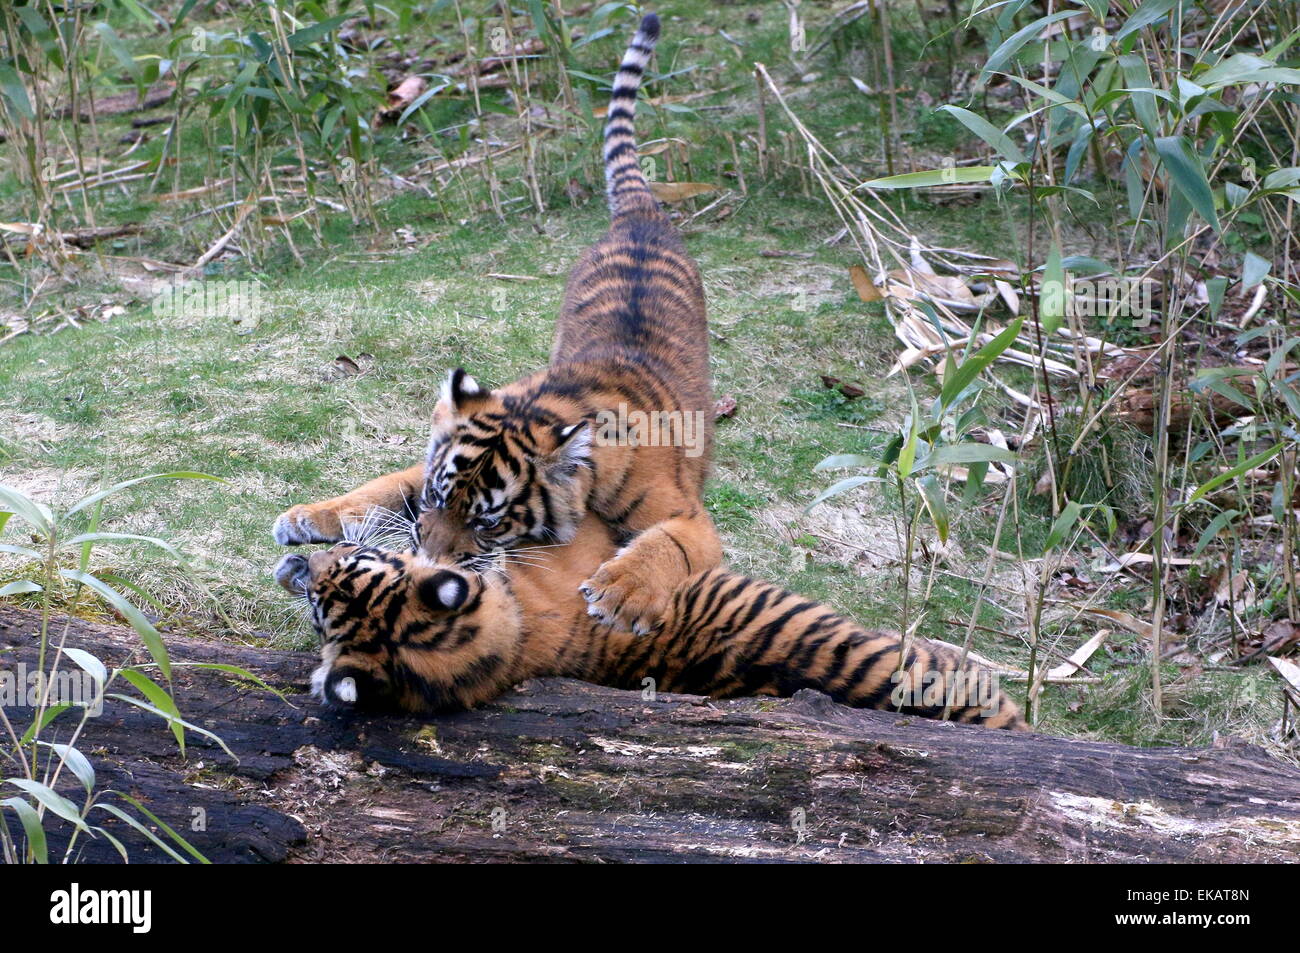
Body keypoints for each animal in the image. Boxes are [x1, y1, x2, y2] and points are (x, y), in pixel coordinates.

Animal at [272, 13, 721, 637]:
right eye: (438, 501)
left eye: (488, 523)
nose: (429, 563)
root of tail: (641, 216)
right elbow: (386, 485)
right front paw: (305, 516)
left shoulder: (689, 517)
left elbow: (668, 545)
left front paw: (621, 591)